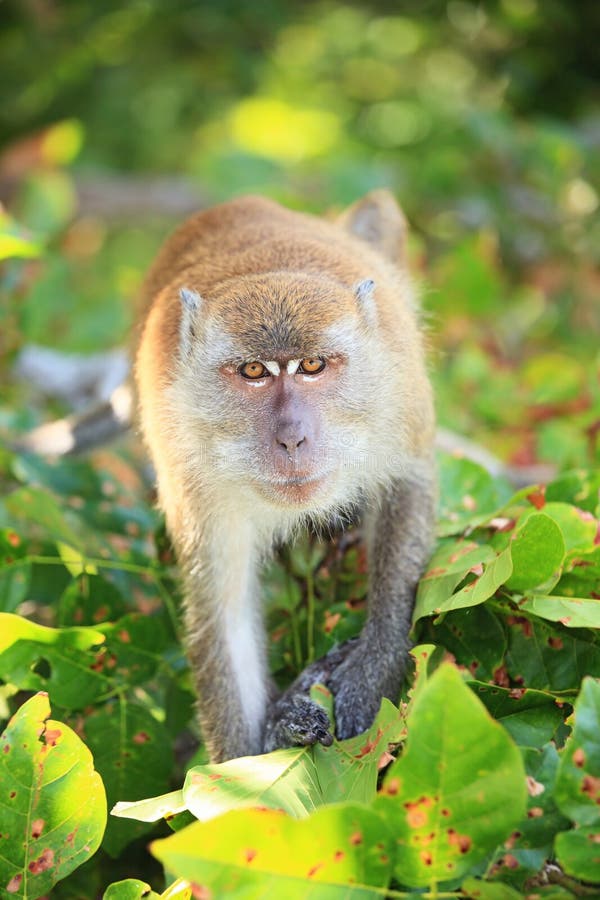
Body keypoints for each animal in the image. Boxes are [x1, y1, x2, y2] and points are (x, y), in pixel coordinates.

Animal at [137, 190, 437, 763]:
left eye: (313, 365)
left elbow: (406, 487)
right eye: (254, 371)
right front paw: (248, 760)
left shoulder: (398, 395)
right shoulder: (190, 472)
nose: (292, 438)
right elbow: (224, 611)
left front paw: (374, 670)